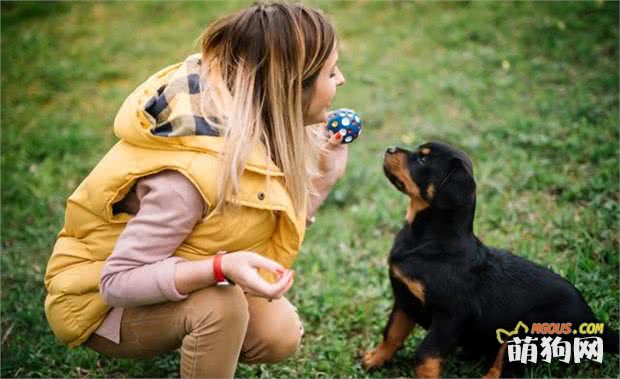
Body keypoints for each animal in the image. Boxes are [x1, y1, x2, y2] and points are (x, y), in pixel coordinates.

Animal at [360, 141, 616, 378]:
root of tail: (592, 319)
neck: (426, 238)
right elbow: (392, 332)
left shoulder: (451, 315)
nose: (390, 148)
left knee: (504, 366)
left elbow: (425, 355)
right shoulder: (404, 298)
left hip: (528, 326)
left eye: (422, 159)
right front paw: (376, 358)